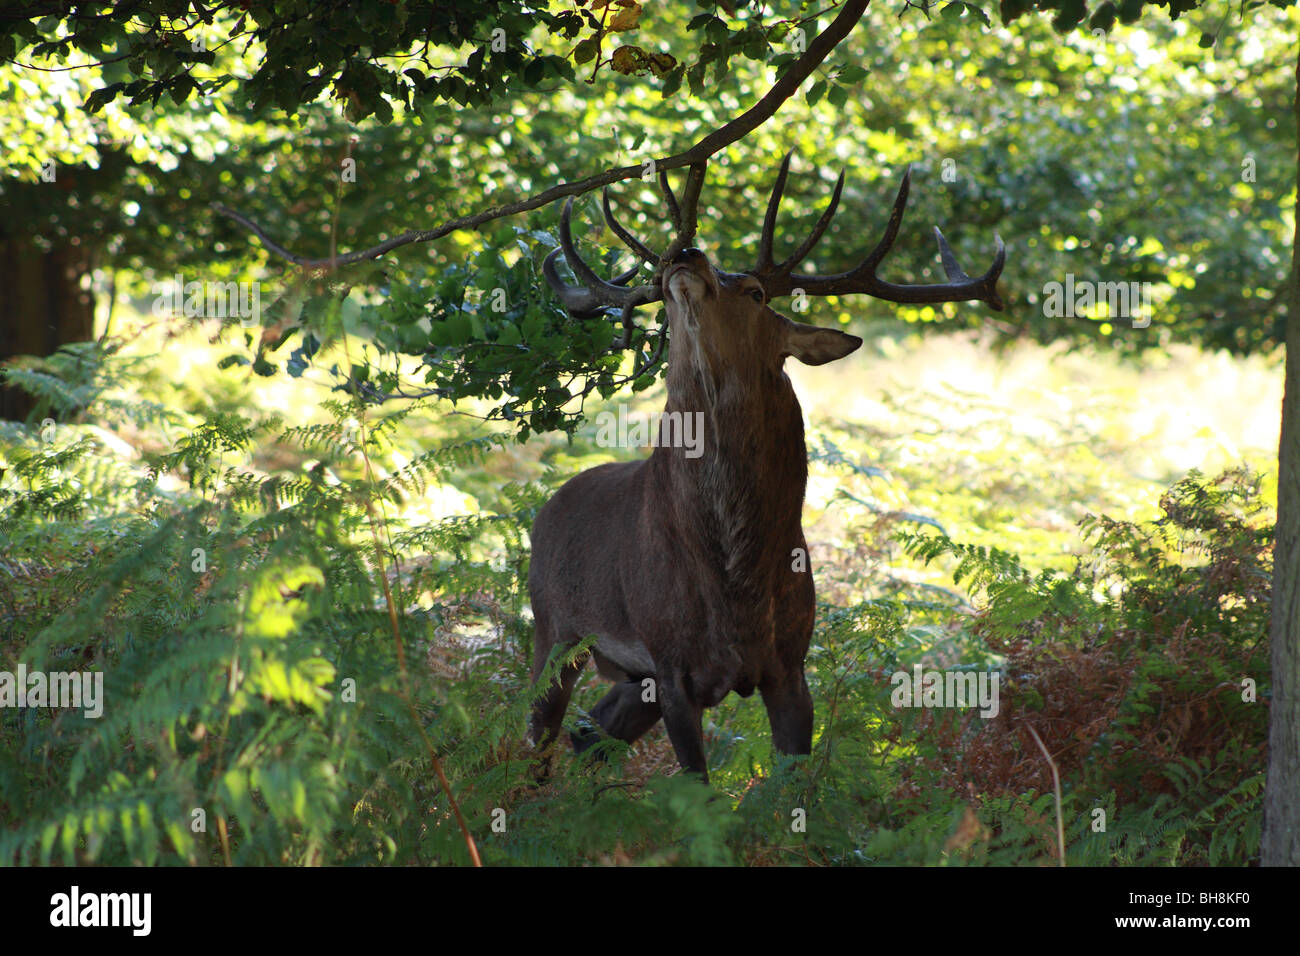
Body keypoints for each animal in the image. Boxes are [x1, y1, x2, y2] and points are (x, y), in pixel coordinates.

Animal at [529, 153, 1005, 783]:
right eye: (660, 295)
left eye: (755, 292)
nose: (683, 255)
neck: (739, 582)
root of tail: (545, 510)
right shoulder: (672, 664)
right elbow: (698, 788)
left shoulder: (790, 664)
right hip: (552, 627)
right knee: (535, 737)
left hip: (629, 673)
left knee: (589, 732)